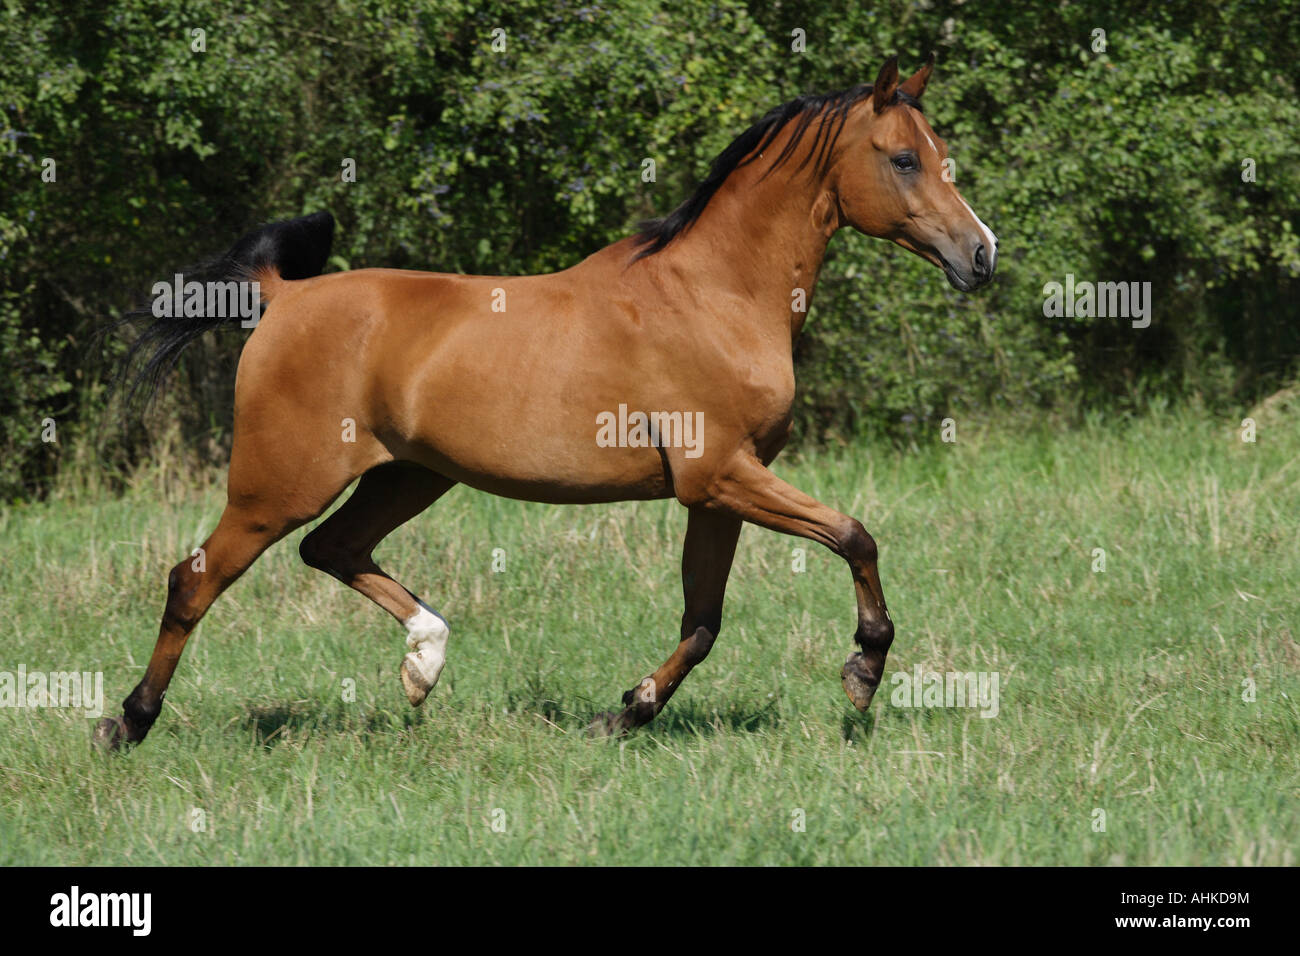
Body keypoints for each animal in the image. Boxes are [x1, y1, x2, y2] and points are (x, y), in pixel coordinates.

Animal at [94, 53, 997, 751]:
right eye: (903, 158)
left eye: (940, 151)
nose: (981, 255)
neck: (715, 294)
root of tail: (282, 297)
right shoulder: (721, 476)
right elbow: (854, 536)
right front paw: (863, 671)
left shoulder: (715, 493)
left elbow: (702, 621)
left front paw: (625, 714)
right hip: (278, 484)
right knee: (194, 581)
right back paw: (128, 724)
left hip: (409, 475)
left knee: (333, 549)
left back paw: (424, 663)